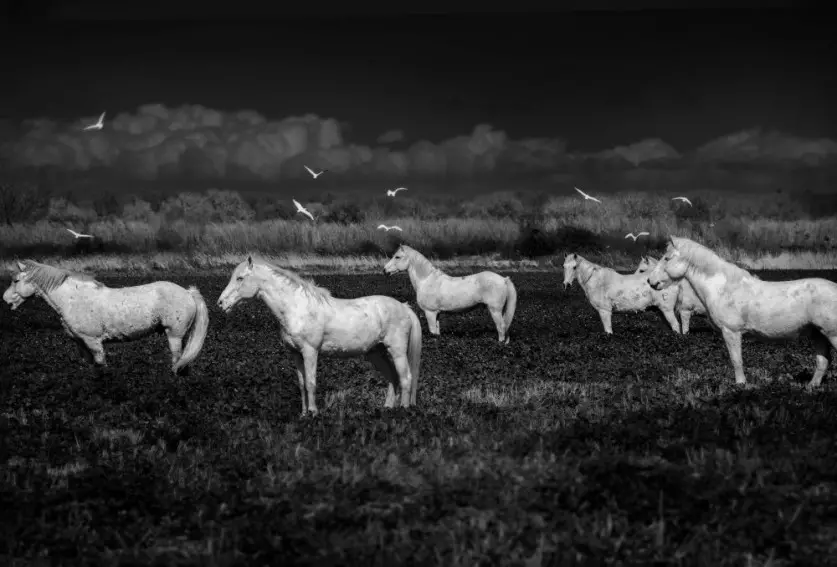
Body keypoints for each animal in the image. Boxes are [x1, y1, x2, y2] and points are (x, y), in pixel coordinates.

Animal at [2, 260, 208, 374]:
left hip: (174, 336)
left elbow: (101, 365)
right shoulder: (81, 344)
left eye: (16, 280)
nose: (5, 300)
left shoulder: (94, 342)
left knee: (177, 360)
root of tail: (188, 293)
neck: (73, 299)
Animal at [219, 258, 422, 418]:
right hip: (376, 353)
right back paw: (387, 409)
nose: (221, 303)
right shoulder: (296, 354)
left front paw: (313, 413)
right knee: (393, 377)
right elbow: (302, 384)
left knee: (406, 378)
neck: (297, 308)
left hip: (397, 352)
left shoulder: (310, 352)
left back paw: (403, 411)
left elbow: (311, 383)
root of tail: (404, 307)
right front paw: (303, 414)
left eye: (240, 278)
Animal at [380, 243, 516, 342]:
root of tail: (503, 279)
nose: (384, 270)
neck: (426, 280)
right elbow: (437, 332)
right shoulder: (437, 314)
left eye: (397, 257)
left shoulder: (430, 313)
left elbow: (432, 331)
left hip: (495, 310)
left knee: (501, 327)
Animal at [648, 236, 836, 390]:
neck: (723, 288)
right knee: (822, 362)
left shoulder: (731, 331)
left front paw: (740, 385)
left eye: (666, 258)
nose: (651, 281)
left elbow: (736, 360)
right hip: (819, 334)